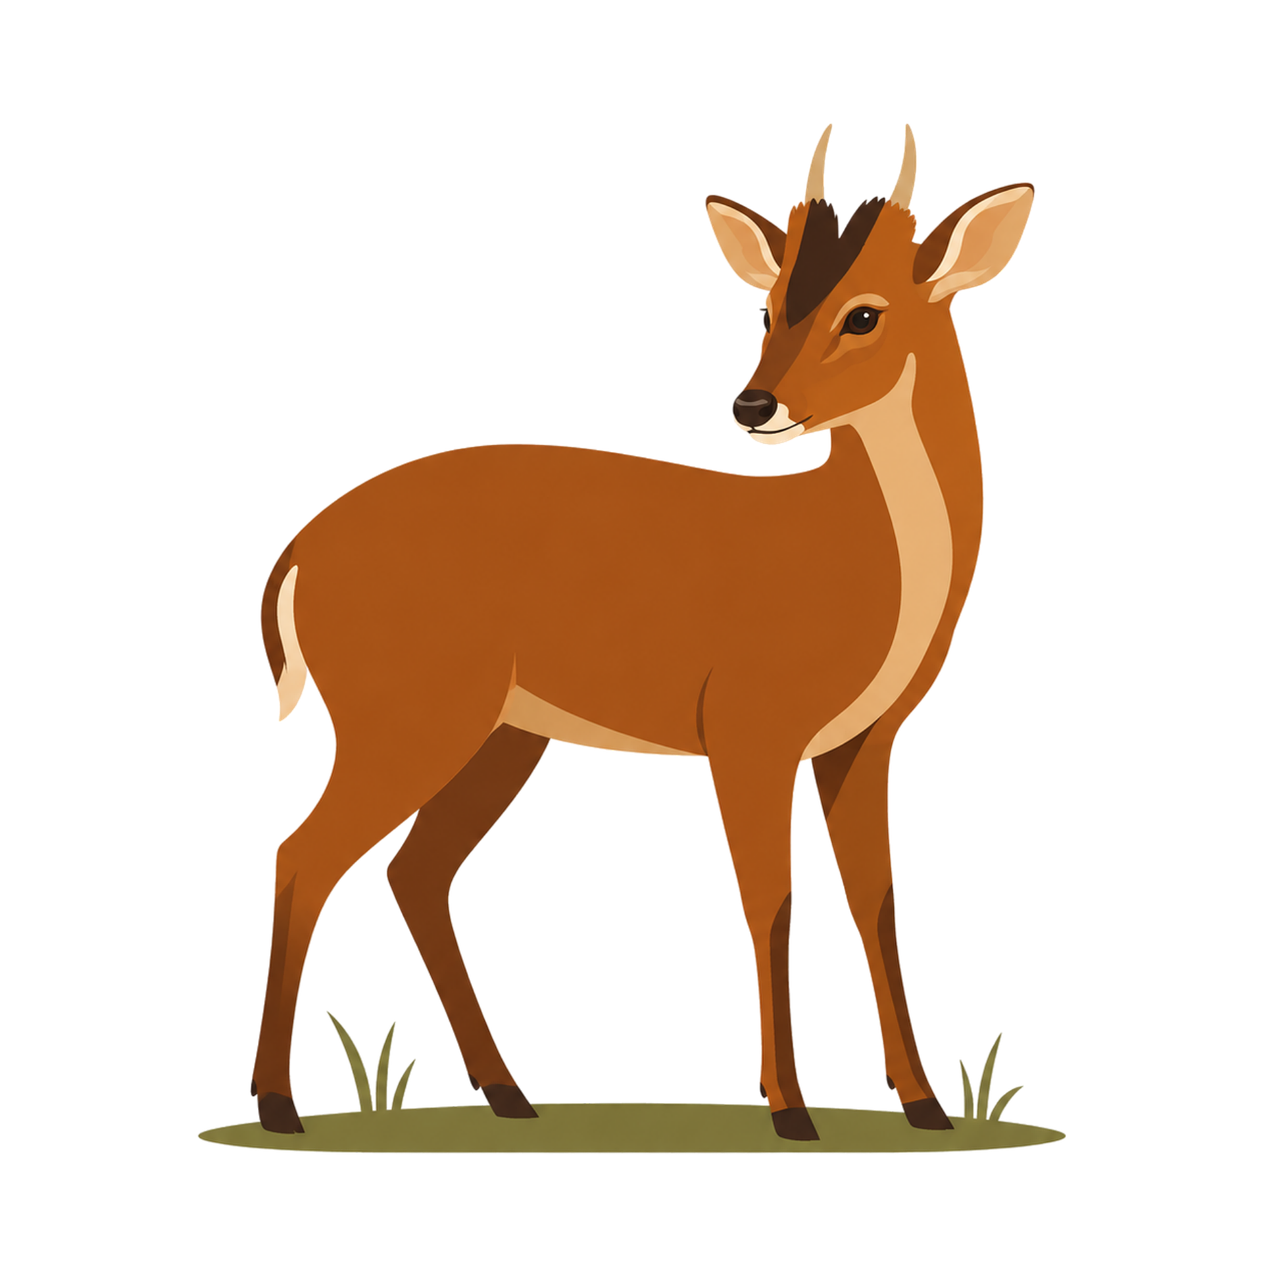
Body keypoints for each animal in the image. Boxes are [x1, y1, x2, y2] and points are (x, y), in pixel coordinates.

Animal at [250, 122, 1035, 1142]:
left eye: (863, 313)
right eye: (775, 301)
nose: (754, 407)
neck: (863, 558)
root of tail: (298, 558)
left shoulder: (864, 739)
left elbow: (874, 898)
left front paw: (924, 1110)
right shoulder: (747, 721)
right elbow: (770, 895)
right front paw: (792, 1113)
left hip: (501, 729)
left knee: (415, 870)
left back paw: (509, 1097)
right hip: (409, 714)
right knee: (304, 855)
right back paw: (279, 1106)